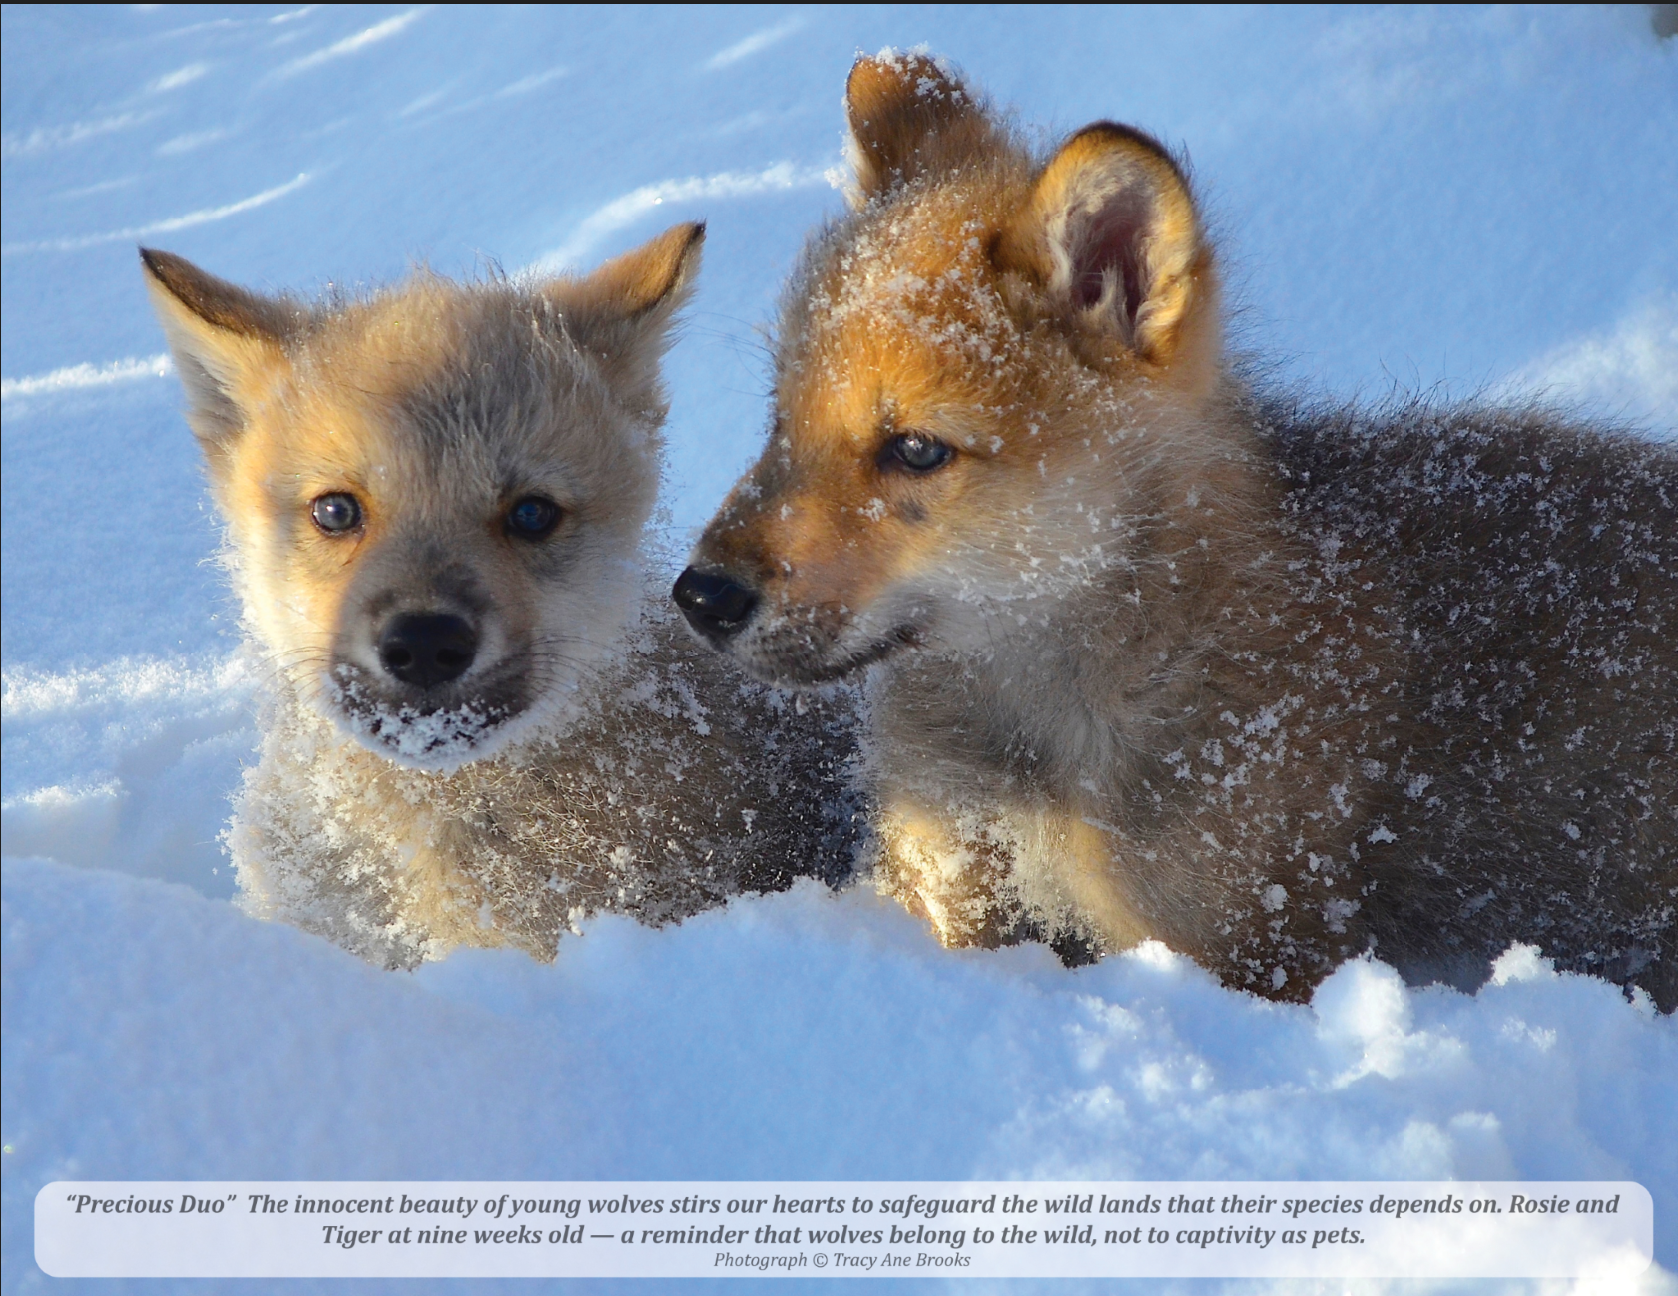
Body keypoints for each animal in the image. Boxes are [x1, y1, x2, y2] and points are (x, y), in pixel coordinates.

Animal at [676, 52, 1676, 1008]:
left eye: (916, 449)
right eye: (779, 419)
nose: (701, 596)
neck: (1037, 749)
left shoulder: (1233, 949)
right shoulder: (941, 891)